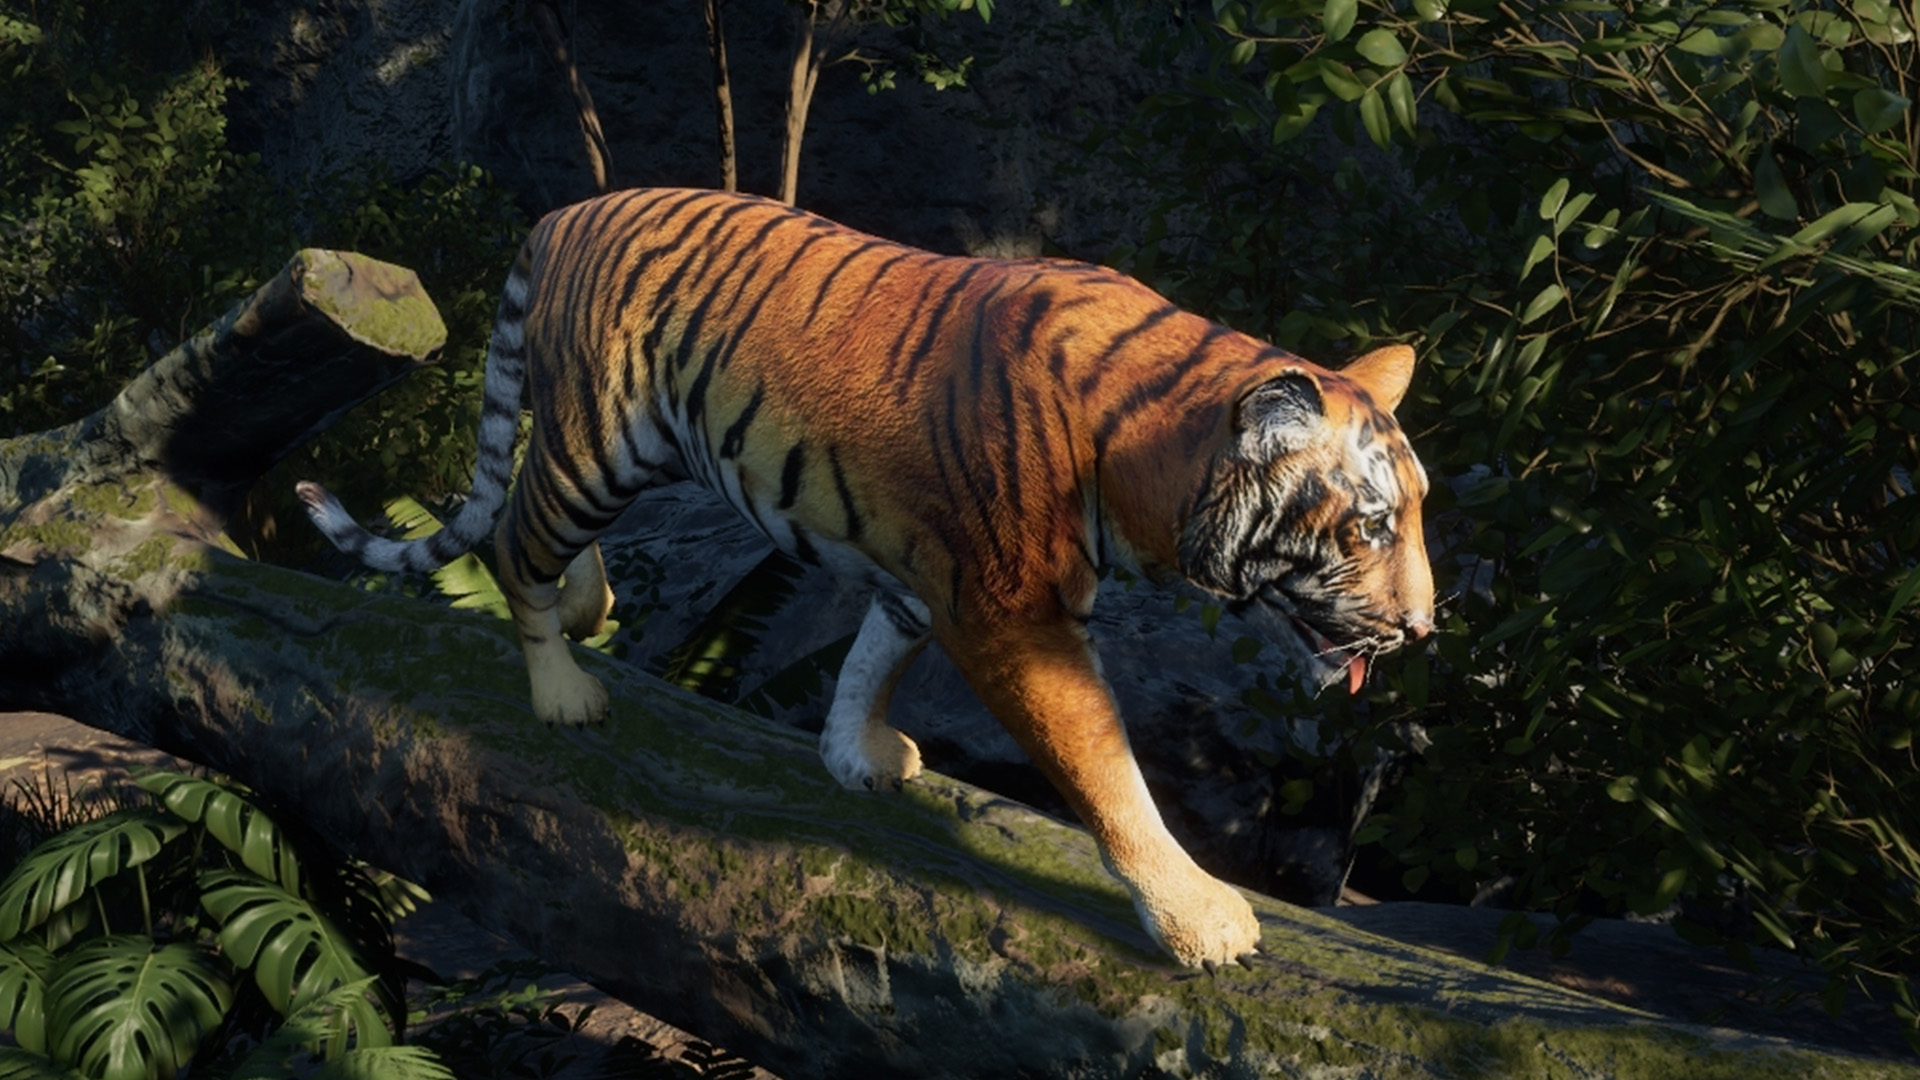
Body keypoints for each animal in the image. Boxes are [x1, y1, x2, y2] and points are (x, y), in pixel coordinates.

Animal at [296, 187, 1435, 968]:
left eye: (1414, 513)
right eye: (1373, 525)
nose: (1423, 631)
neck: (1151, 458)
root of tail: (563, 212)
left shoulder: (922, 570)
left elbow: (872, 658)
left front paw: (857, 754)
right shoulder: (1013, 615)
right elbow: (1109, 770)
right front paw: (1197, 917)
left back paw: (592, 606)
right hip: (597, 445)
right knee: (514, 540)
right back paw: (561, 687)